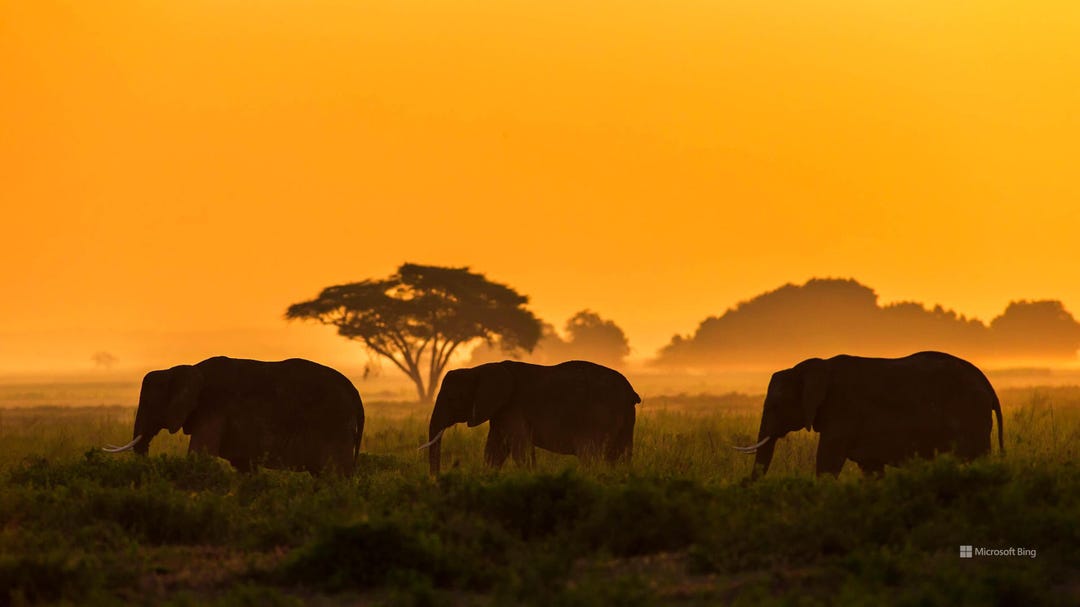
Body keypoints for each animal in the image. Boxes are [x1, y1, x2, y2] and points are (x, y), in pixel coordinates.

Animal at [104, 356, 365, 474]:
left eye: (150, 402)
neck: (183, 368)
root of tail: (355, 393)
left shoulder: (213, 409)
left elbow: (200, 454)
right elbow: (242, 465)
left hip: (334, 423)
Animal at [423, 360, 641, 474]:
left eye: (452, 398)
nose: (437, 480)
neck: (479, 369)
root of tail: (630, 392)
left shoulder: (513, 408)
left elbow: (521, 450)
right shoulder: (501, 412)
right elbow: (494, 450)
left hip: (598, 416)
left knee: (590, 454)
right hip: (626, 418)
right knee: (621, 455)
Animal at [734, 351, 1004, 478]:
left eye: (776, 404)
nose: (744, 484)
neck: (813, 366)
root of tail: (988, 385)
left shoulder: (843, 411)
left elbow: (828, 463)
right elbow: (871, 469)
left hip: (970, 415)